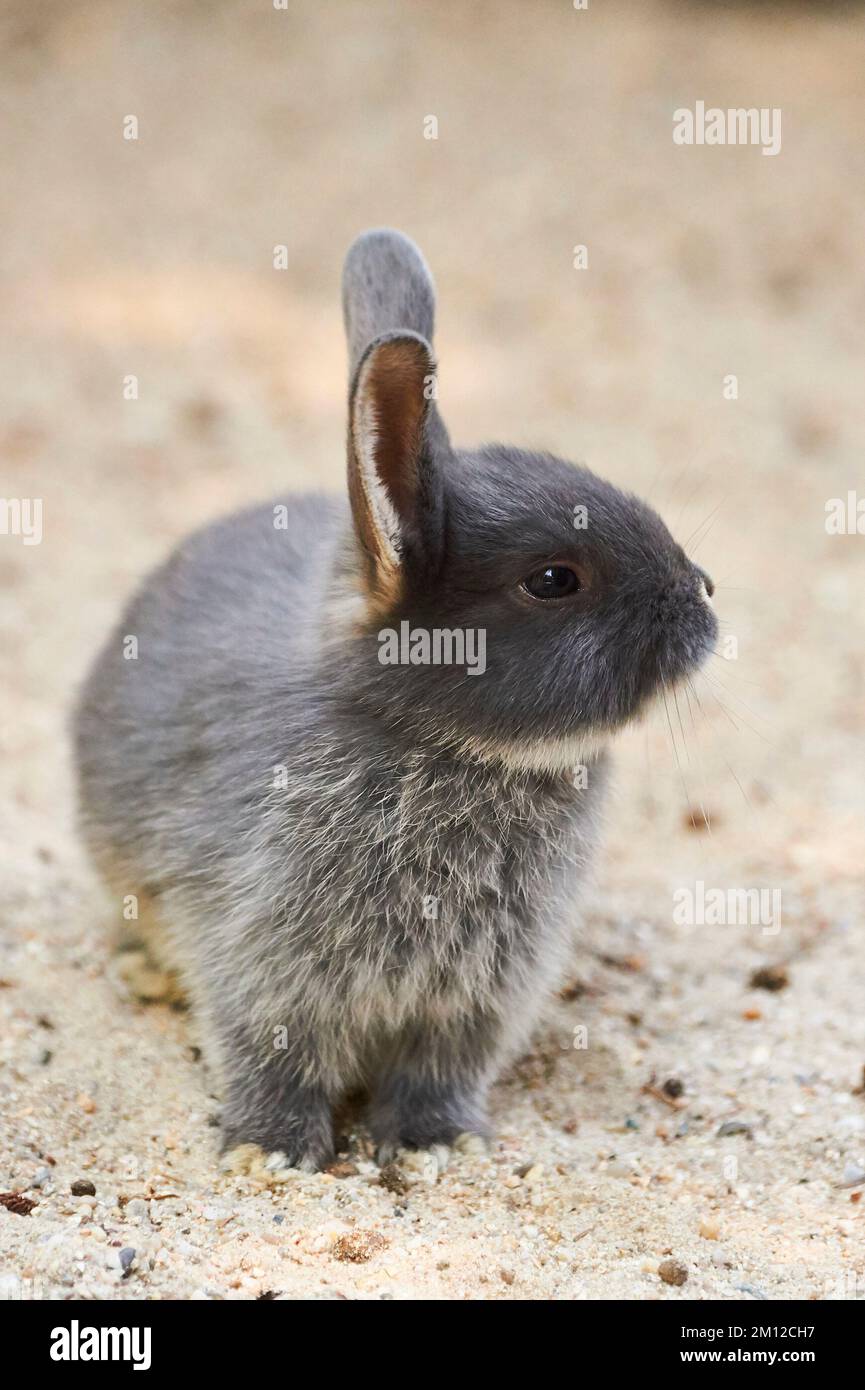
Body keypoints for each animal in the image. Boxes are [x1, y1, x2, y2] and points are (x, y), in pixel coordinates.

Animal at [74, 228, 717, 1175]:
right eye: (552, 580)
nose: (703, 596)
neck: (433, 743)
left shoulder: (474, 999)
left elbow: (436, 1071)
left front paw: (433, 1142)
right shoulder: (258, 965)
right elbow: (272, 1058)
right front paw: (274, 1151)